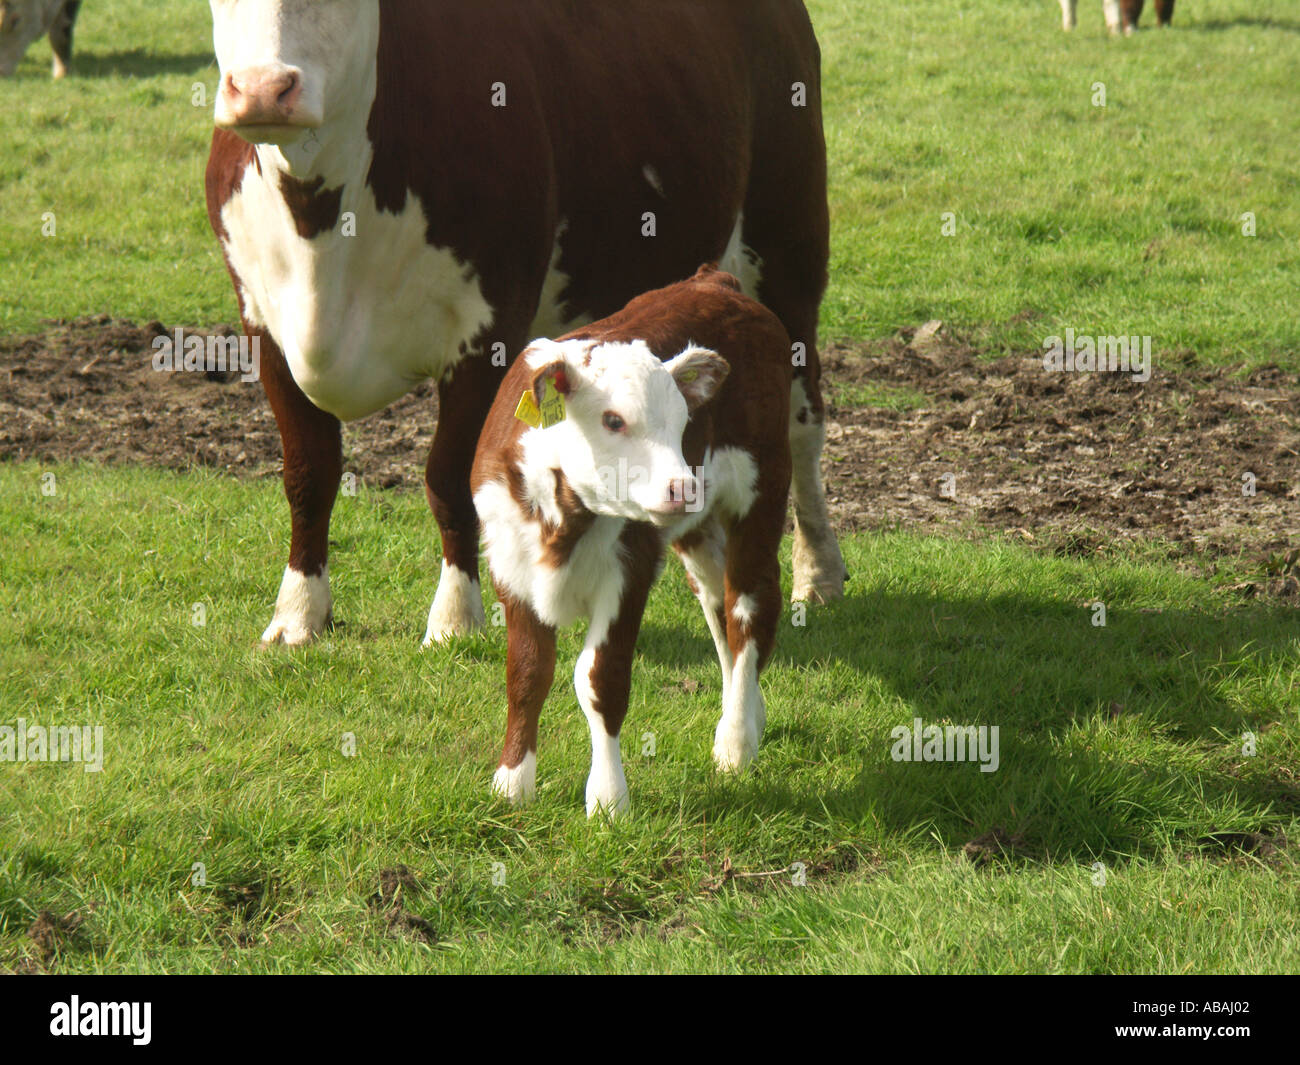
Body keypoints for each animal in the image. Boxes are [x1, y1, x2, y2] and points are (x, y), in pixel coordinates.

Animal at [204, 0, 847, 652]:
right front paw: (298, 613)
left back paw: (818, 570)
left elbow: (448, 477)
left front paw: (454, 616)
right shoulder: (262, 327)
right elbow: (309, 472)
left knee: (803, 424)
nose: (262, 90)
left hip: (789, 247)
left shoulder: (488, 330)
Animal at [472, 266, 791, 816]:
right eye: (613, 419)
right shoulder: (510, 567)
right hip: (698, 532)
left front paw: (607, 800)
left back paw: (735, 741)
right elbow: (527, 673)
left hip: (763, 490)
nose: (684, 486)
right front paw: (512, 784)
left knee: (748, 606)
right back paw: (747, 710)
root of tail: (715, 281)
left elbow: (600, 679)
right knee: (716, 603)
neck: (565, 521)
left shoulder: (629, 571)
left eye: (685, 423)